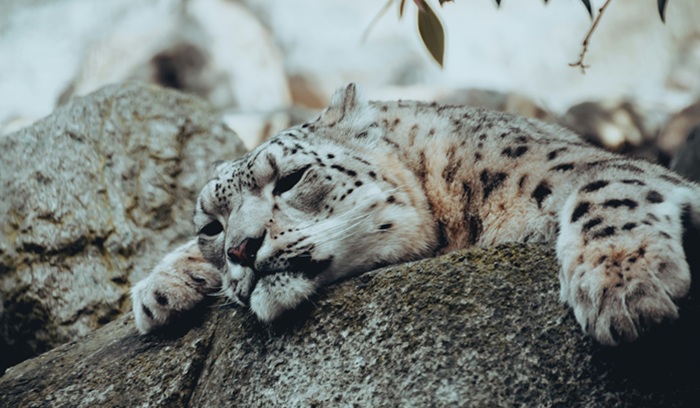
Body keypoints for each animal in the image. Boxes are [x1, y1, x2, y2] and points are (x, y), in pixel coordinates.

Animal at [131, 83, 700, 346]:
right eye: (210, 226)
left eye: (290, 178)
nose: (241, 249)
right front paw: (159, 290)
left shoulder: (580, 170)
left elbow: (607, 188)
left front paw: (623, 288)